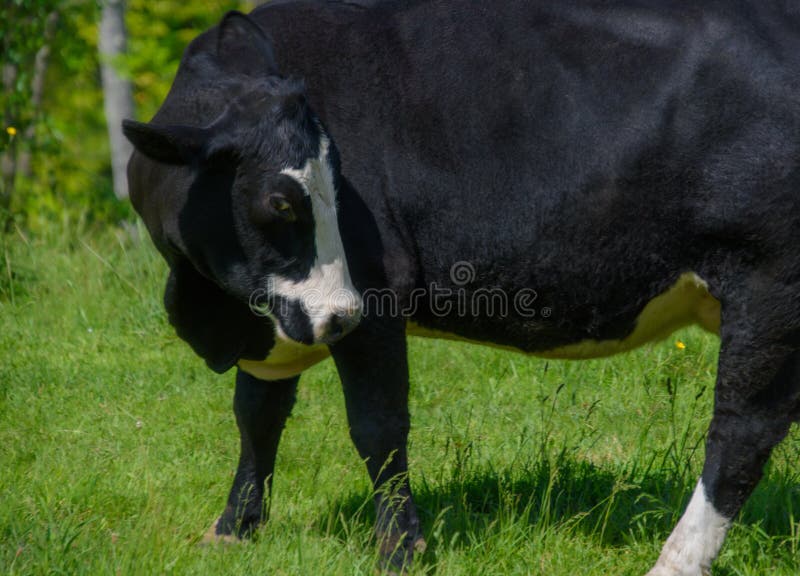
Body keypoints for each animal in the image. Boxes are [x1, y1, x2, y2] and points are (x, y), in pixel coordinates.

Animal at [122, 1, 800, 574]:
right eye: (280, 202)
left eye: (340, 184)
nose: (341, 314)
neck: (209, 304)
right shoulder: (273, 320)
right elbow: (257, 416)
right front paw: (233, 530)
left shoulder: (376, 298)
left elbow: (377, 427)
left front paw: (400, 550)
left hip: (769, 284)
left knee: (740, 435)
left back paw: (675, 560)